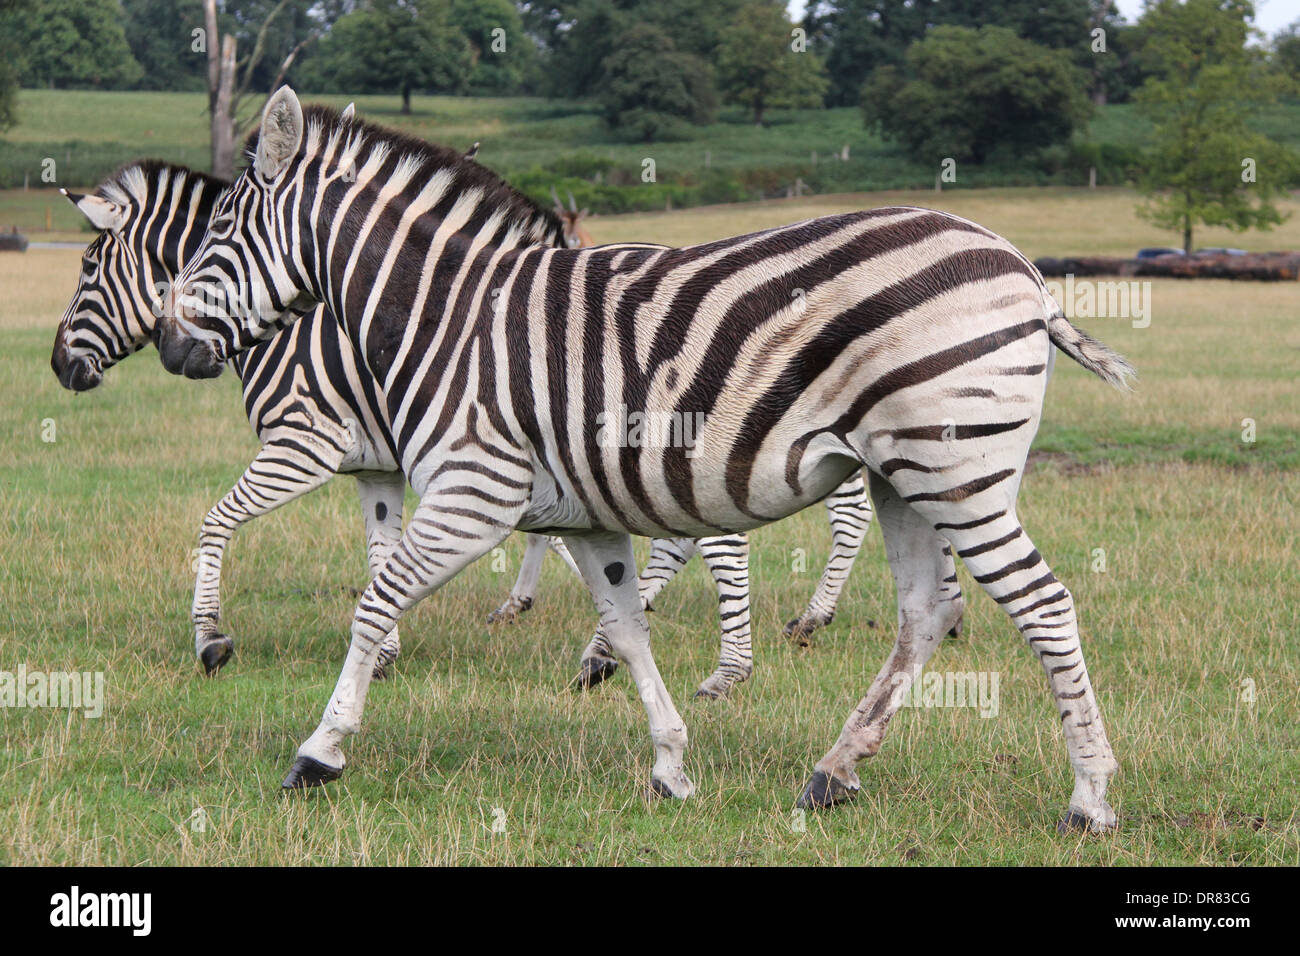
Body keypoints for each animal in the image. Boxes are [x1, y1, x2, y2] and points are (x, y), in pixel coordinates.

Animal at [49, 155, 873, 699]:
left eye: (88, 267)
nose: (58, 367)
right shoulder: (380, 465)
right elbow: (385, 552)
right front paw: (386, 650)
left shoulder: (304, 443)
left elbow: (215, 522)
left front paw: (212, 639)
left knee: (730, 537)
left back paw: (731, 663)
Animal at [156, 89, 1132, 830]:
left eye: (218, 235)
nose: (169, 347)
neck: (451, 317)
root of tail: (1022, 268)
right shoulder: (582, 514)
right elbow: (627, 632)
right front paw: (671, 768)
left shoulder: (475, 491)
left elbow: (374, 604)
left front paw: (318, 752)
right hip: (904, 478)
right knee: (928, 611)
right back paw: (833, 772)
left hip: (954, 473)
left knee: (1044, 604)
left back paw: (1088, 799)